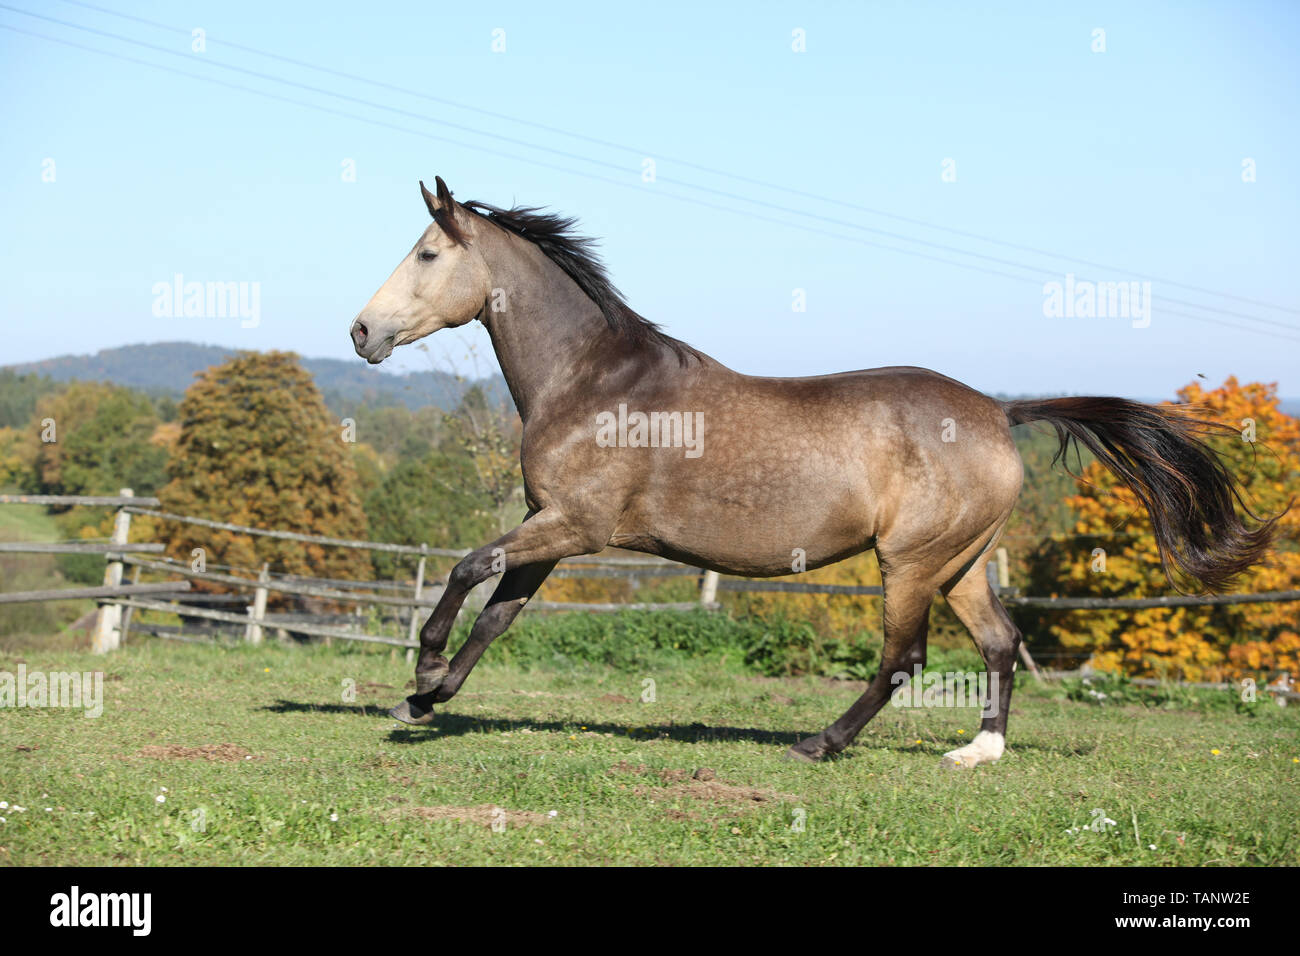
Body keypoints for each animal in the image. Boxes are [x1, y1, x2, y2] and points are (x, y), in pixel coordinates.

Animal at [348, 177, 1278, 766]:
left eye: (426, 253)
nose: (361, 332)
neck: (597, 381)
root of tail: (997, 412)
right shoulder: (552, 530)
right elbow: (498, 614)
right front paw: (424, 700)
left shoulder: (575, 526)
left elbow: (468, 569)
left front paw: (421, 674)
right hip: (964, 562)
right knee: (1000, 641)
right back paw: (977, 752)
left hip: (910, 563)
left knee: (904, 657)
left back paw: (819, 744)